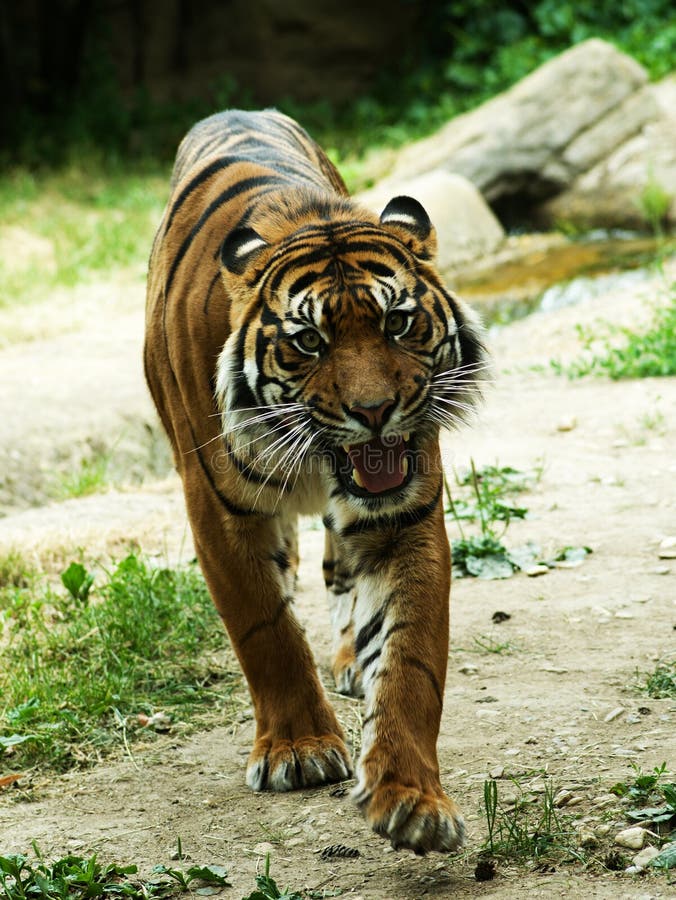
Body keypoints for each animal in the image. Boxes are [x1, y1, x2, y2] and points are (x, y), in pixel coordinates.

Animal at [144, 109, 488, 855]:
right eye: (308, 342)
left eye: (398, 322)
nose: (374, 411)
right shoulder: (217, 510)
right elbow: (265, 628)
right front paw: (298, 750)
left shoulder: (403, 514)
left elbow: (412, 658)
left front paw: (412, 797)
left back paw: (351, 658)